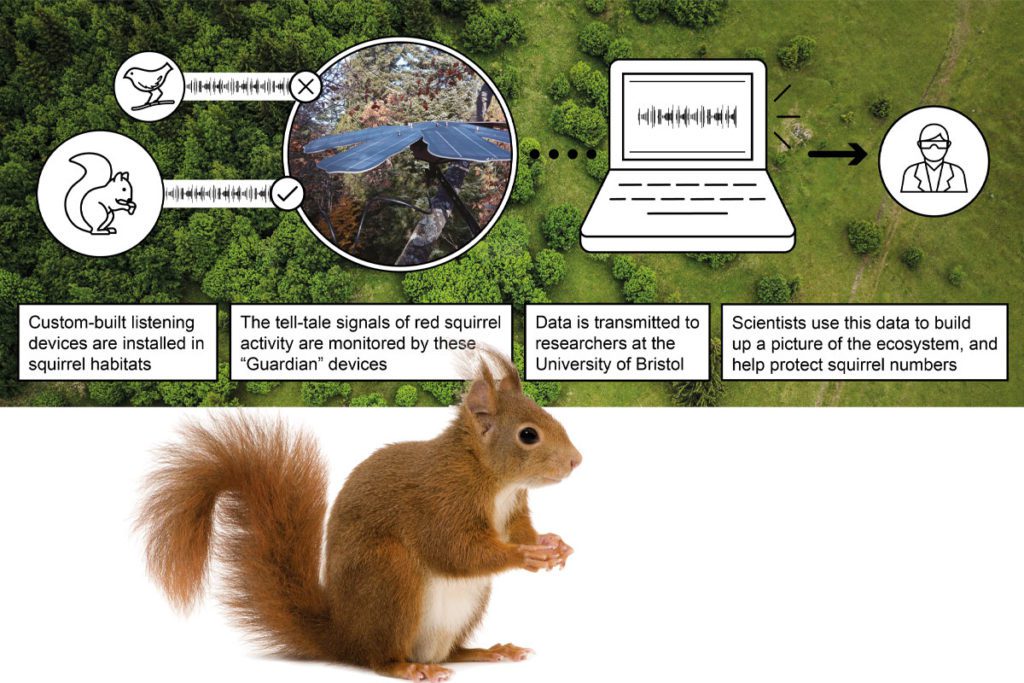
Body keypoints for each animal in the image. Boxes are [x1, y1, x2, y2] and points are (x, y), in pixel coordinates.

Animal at [138, 351, 582, 683]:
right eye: (528, 435)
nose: (577, 461)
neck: (494, 481)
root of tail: (345, 636)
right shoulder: (440, 502)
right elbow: (456, 552)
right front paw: (524, 556)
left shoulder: (514, 510)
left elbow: (520, 532)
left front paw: (551, 544)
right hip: (390, 577)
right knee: (379, 659)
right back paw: (409, 668)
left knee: (449, 652)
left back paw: (486, 651)